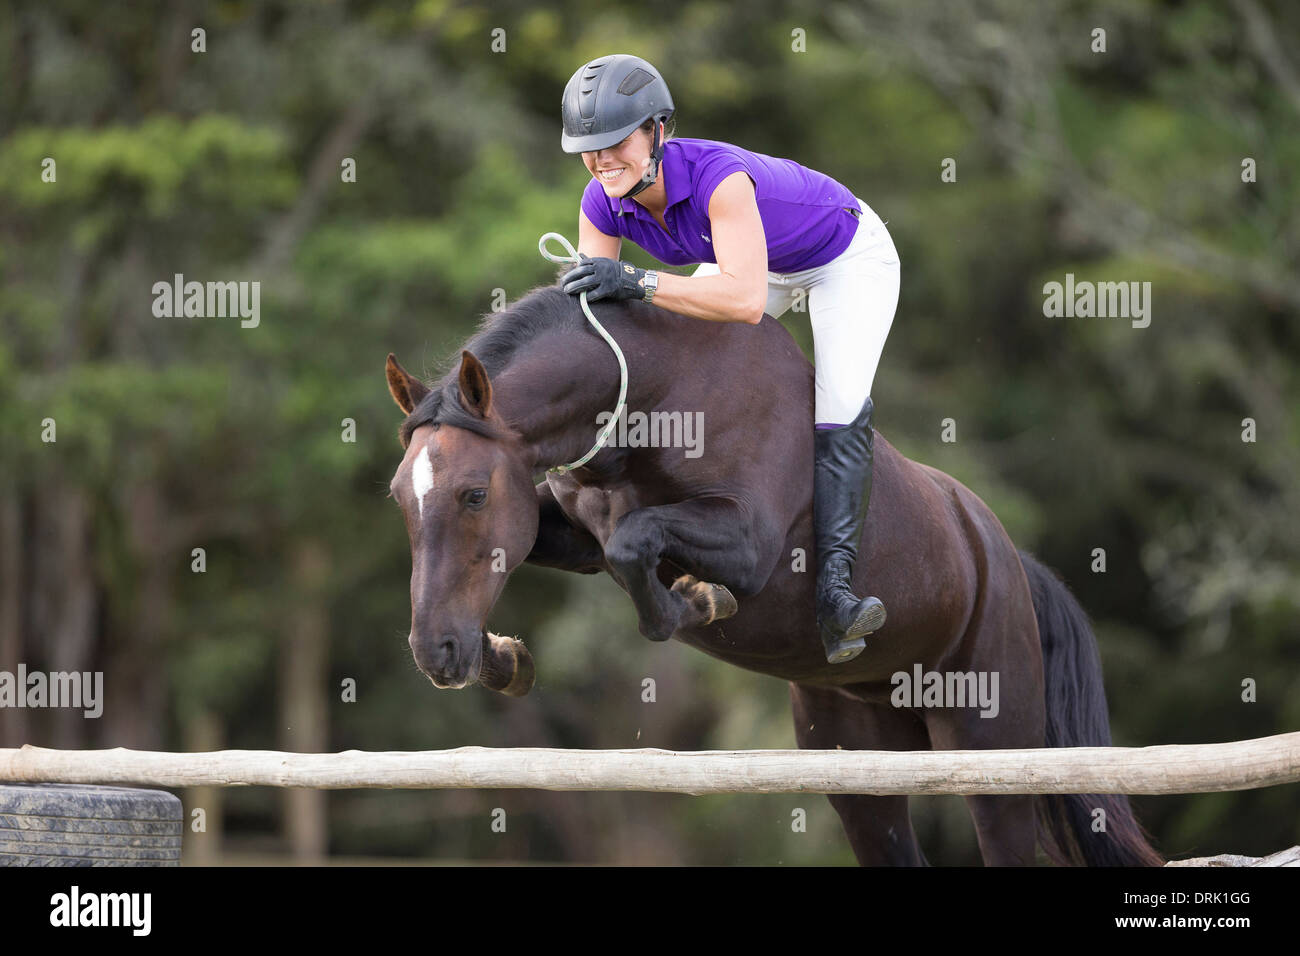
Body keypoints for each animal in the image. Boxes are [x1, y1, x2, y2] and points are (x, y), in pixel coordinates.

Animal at [383, 283, 1163, 866]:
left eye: (473, 495)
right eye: (398, 496)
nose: (434, 652)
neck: (651, 401)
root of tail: (1002, 554)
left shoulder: (750, 544)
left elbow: (639, 549)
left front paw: (699, 601)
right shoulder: (580, 533)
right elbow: (583, 548)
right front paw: (502, 658)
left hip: (991, 748)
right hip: (856, 762)